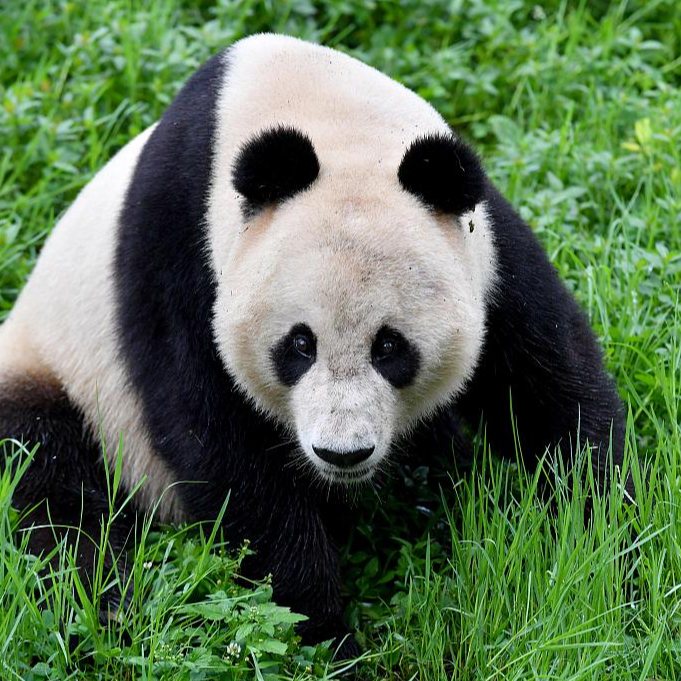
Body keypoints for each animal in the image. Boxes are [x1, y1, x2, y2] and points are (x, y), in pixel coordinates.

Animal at [0, 34, 625, 651]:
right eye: (300, 345)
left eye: (390, 347)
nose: (342, 454)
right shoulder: (179, 250)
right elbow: (219, 444)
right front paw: (324, 632)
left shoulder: (484, 246)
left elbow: (550, 381)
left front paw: (595, 551)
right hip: (59, 375)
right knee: (48, 483)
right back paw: (112, 600)